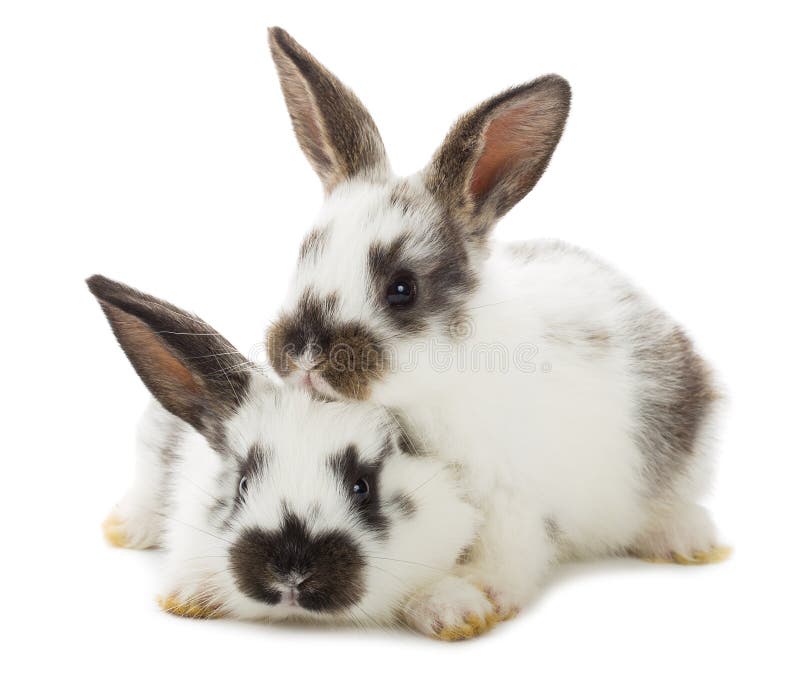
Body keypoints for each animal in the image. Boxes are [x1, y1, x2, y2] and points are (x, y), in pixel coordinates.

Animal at [264, 27, 730, 623]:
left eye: (402, 289)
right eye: (305, 254)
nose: (303, 352)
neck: (428, 391)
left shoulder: (508, 494)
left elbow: (505, 550)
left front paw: (468, 600)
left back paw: (684, 539)